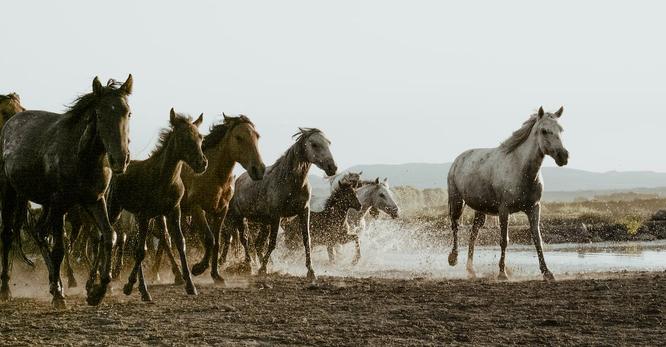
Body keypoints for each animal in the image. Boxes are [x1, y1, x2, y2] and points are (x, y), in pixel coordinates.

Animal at [0, 75, 134, 308]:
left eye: (128, 113)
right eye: (100, 114)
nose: (120, 160)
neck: (81, 156)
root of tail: (11, 122)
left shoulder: (95, 200)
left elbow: (109, 236)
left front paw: (97, 291)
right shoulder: (61, 204)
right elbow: (60, 249)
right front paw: (59, 297)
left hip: (45, 203)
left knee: (39, 232)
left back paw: (55, 283)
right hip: (11, 194)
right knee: (9, 235)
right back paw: (7, 289)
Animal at [106, 109, 206, 302]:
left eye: (200, 137)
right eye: (182, 137)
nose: (202, 163)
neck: (164, 179)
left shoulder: (173, 212)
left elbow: (180, 243)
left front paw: (190, 285)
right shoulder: (144, 214)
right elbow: (141, 251)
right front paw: (133, 287)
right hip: (114, 209)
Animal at [175, 113, 266, 284]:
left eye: (257, 136)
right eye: (238, 137)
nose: (259, 170)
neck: (213, 176)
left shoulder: (220, 211)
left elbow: (217, 242)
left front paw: (216, 275)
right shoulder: (197, 209)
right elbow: (209, 239)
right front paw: (198, 268)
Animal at [223, 128, 338, 282]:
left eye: (329, 143)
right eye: (314, 144)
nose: (332, 167)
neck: (290, 182)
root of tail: (237, 180)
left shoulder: (304, 212)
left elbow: (307, 241)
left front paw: (311, 271)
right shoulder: (276, 216)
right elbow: (272, 243)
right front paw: (262, 269)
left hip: (264, 222)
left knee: (258, 244)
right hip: (239, 217)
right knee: (245, 240)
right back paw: (249, 266)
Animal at [446, 106, 564, 282]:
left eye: (561, 130)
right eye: (544, 131)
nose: (564, 156)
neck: (521, 169)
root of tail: (458, 159)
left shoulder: (534, 208)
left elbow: (538, 239)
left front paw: (547, 273)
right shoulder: (504, 210)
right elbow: (504, 240)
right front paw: (502, 273)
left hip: (480, 209)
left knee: (474, 234)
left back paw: (471, 270)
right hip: (457, 201)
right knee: (455, 226)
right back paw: (453, 259)